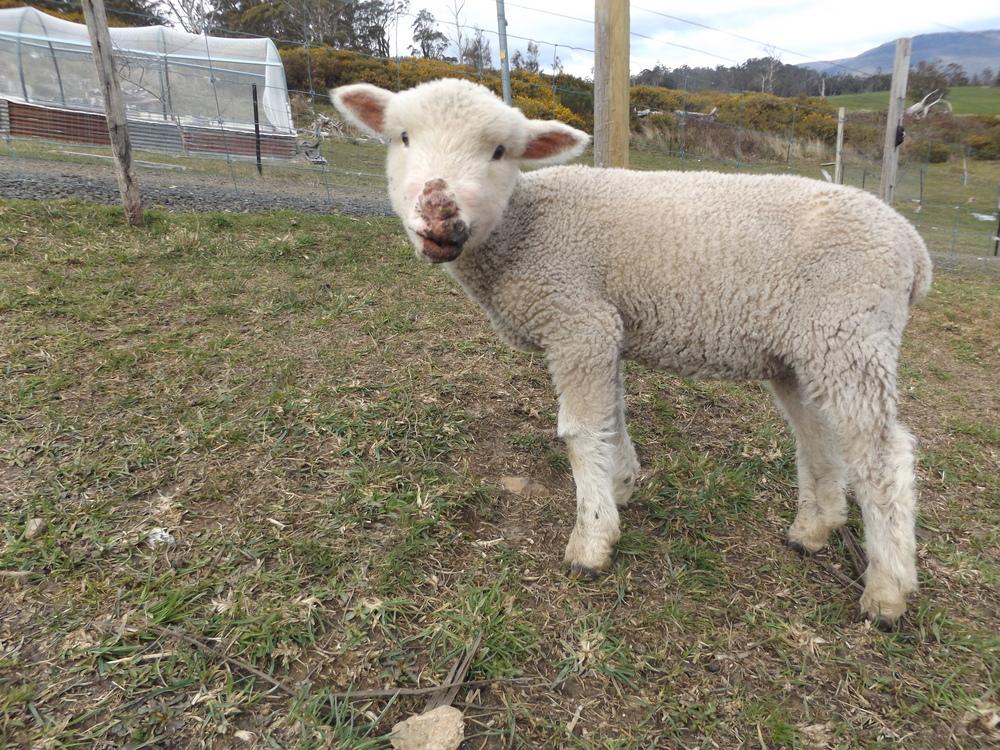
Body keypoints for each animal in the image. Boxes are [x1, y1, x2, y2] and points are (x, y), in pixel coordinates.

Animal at [331, 78, 932, 626]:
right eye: (402, 137)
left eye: (500, 151)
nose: (439, 215)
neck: (521, 231)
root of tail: (914, 249)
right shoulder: (605, 327)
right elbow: (610, 419)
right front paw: (619, 485)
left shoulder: (578, 319)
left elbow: (579, 432)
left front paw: (592, 539)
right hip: (802, 352)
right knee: (817, 435)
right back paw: (813, 529)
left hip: (851, 331)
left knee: (883, 456)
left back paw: (887, 591)